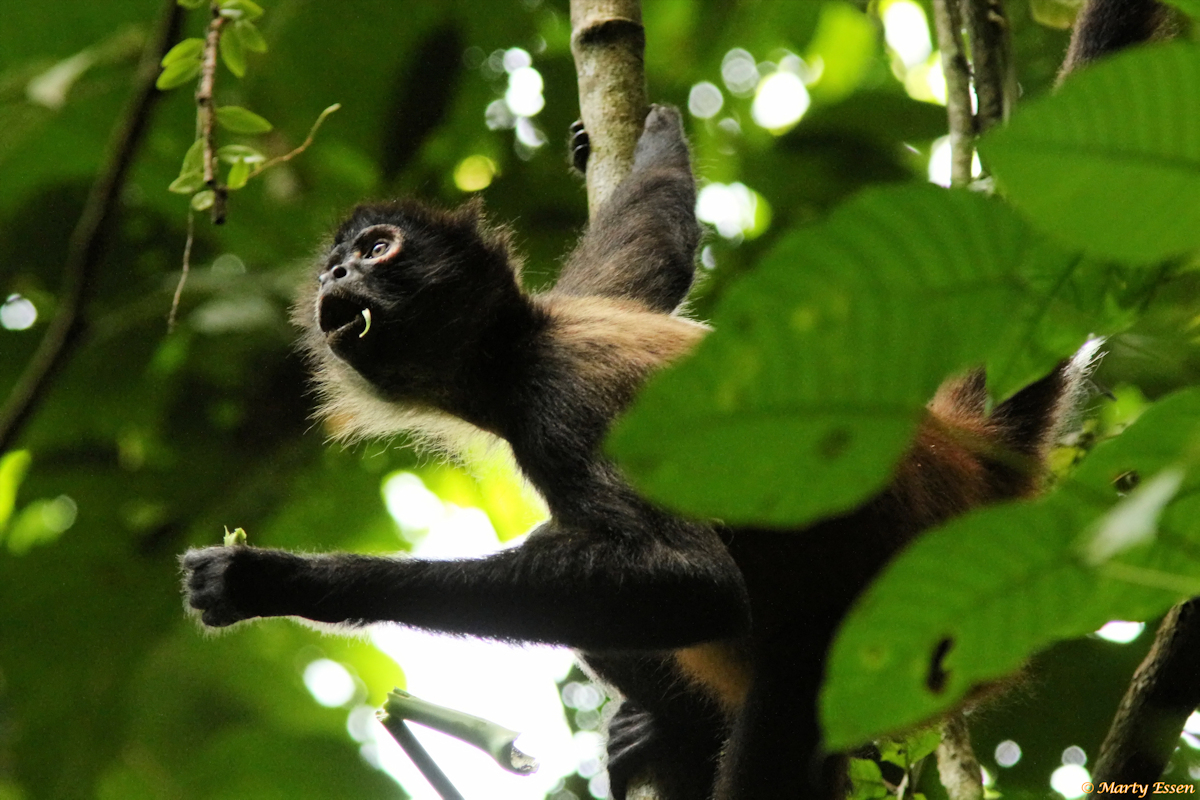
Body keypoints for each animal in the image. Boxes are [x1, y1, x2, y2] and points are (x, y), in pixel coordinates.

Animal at [182, 1, 1162, 797]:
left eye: (377, 248)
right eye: (340, 261)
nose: (337, 276)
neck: (520, 345)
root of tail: (964, 453)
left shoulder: (567, 402)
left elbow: (695, 585)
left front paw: (279, 578)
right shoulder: (598, 296)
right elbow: (655, 237)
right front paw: (646, 138)